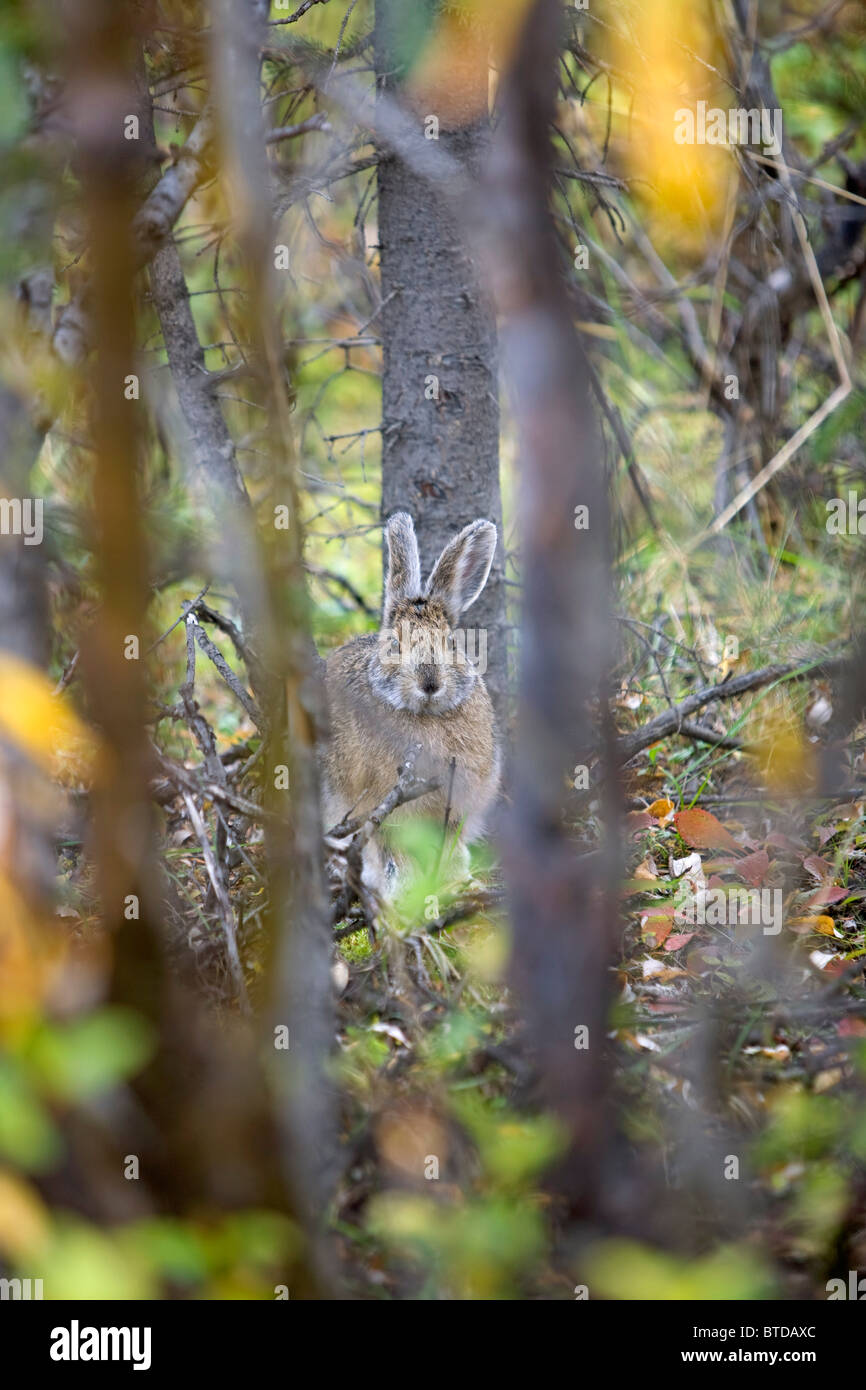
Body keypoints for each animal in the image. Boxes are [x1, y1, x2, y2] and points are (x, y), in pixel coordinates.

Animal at [321, 511, 500, 902]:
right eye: (395, 644)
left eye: (451, 642)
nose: (430, 683)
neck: (427, 717)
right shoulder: (383, 810)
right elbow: (393, 855)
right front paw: (407, 894)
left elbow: (449, 844)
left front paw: (452, 881)